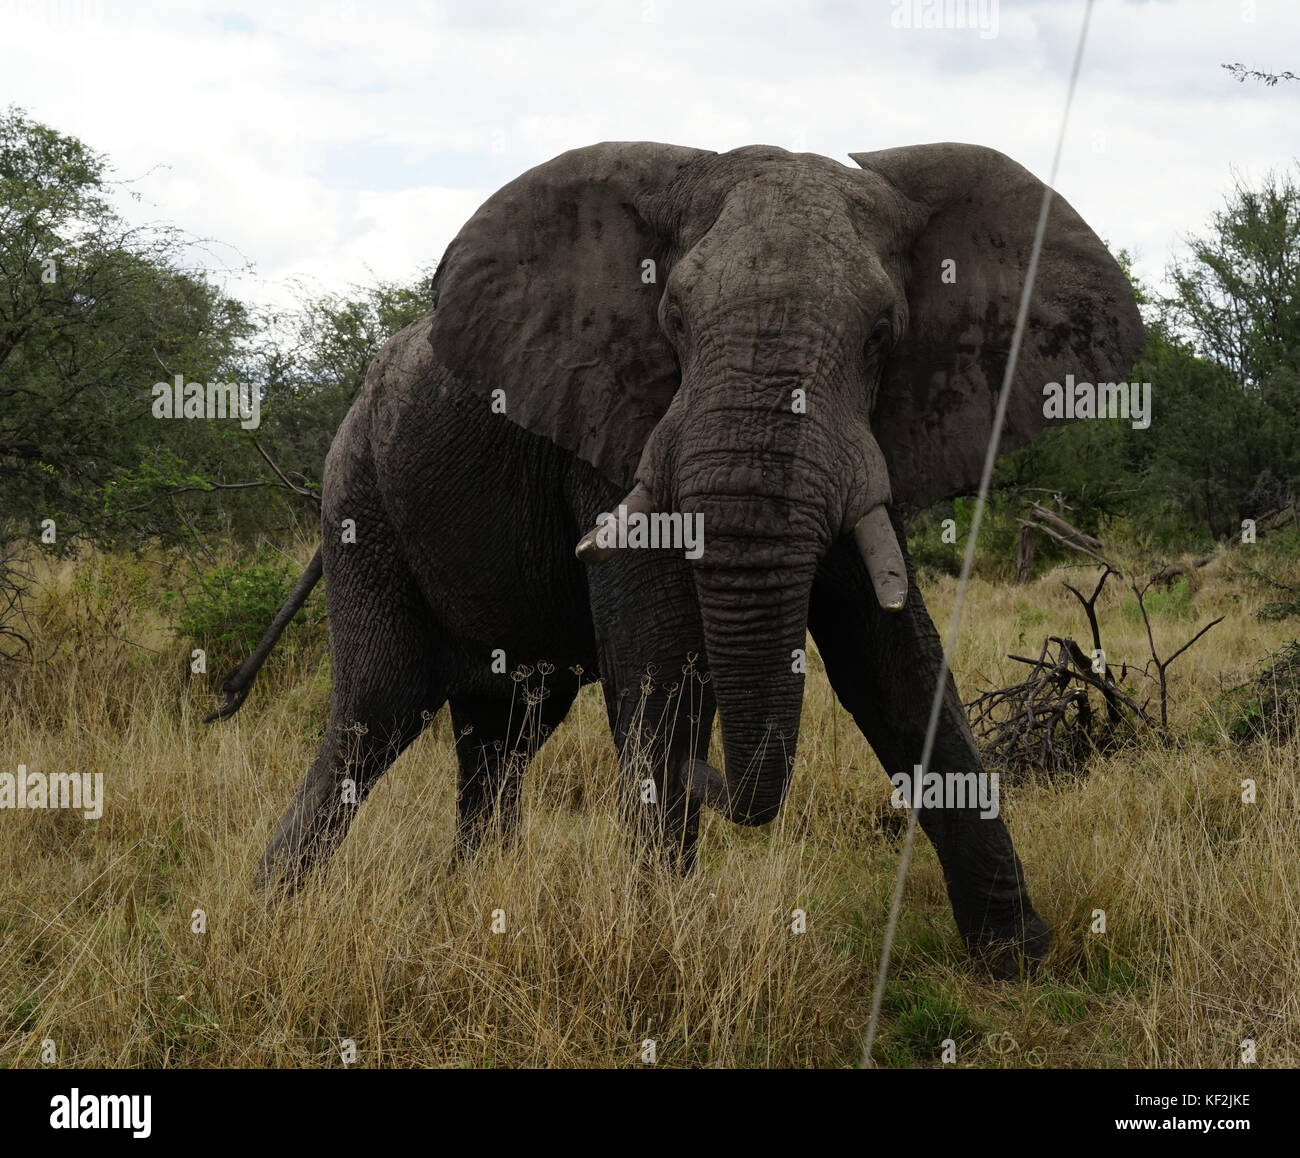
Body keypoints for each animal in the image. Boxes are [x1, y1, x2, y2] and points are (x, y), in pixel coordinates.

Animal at [215, 141, 1143, 978]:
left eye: (882, 334)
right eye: (676, 324)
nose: (712, 773)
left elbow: (897, 666)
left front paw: (1018, 959)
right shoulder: (616, 420)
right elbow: (661, 667)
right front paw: (661, 947)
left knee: (503, 729)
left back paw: (473, 906)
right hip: (359, 501)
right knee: (375, 712)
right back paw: (271, 914)